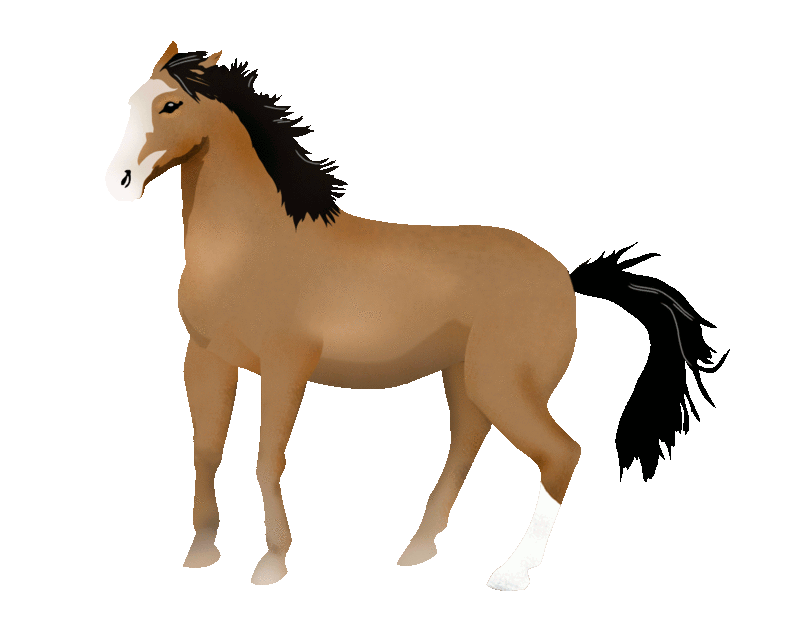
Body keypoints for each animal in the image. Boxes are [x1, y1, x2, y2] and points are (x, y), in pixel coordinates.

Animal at [105, 43, 729, 590]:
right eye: (134, 101)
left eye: (170, 106)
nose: (119, 183)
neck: (252, 246)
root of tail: (565, 277)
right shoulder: (206, 357)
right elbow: (206, 449)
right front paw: (201, 553)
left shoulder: (287, 364)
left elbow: (267, 458)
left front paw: (272, 563)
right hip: (466, 378)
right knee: (466, 448)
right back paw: (418, 550)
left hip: (501, 382)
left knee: (559, 455)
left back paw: (510, 573)